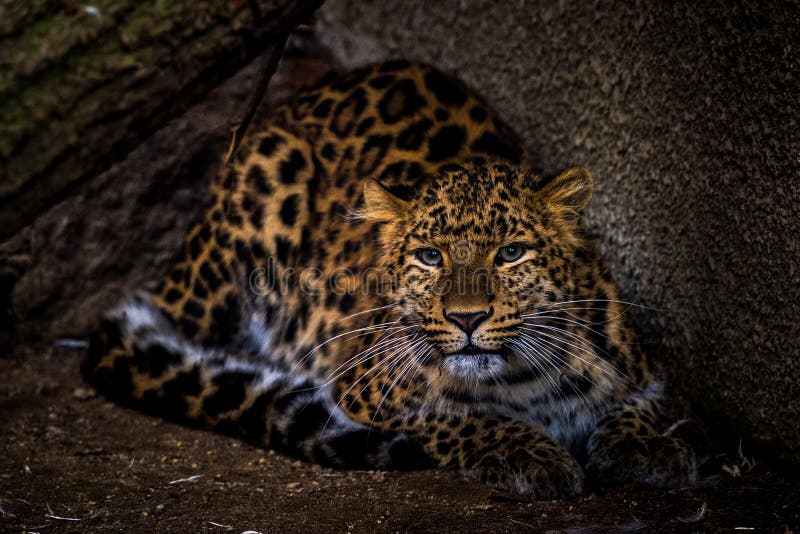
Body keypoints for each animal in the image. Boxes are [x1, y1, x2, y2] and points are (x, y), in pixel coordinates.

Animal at [82, 60, 696, 499]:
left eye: (511, 253)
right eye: (428, 257)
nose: (467, 318)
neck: (522, 381)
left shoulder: (641, 372)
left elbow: (642, 409)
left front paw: (650, 449)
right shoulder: (365, 383)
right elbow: (458, 416)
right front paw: (531, 454)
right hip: (261, 192)